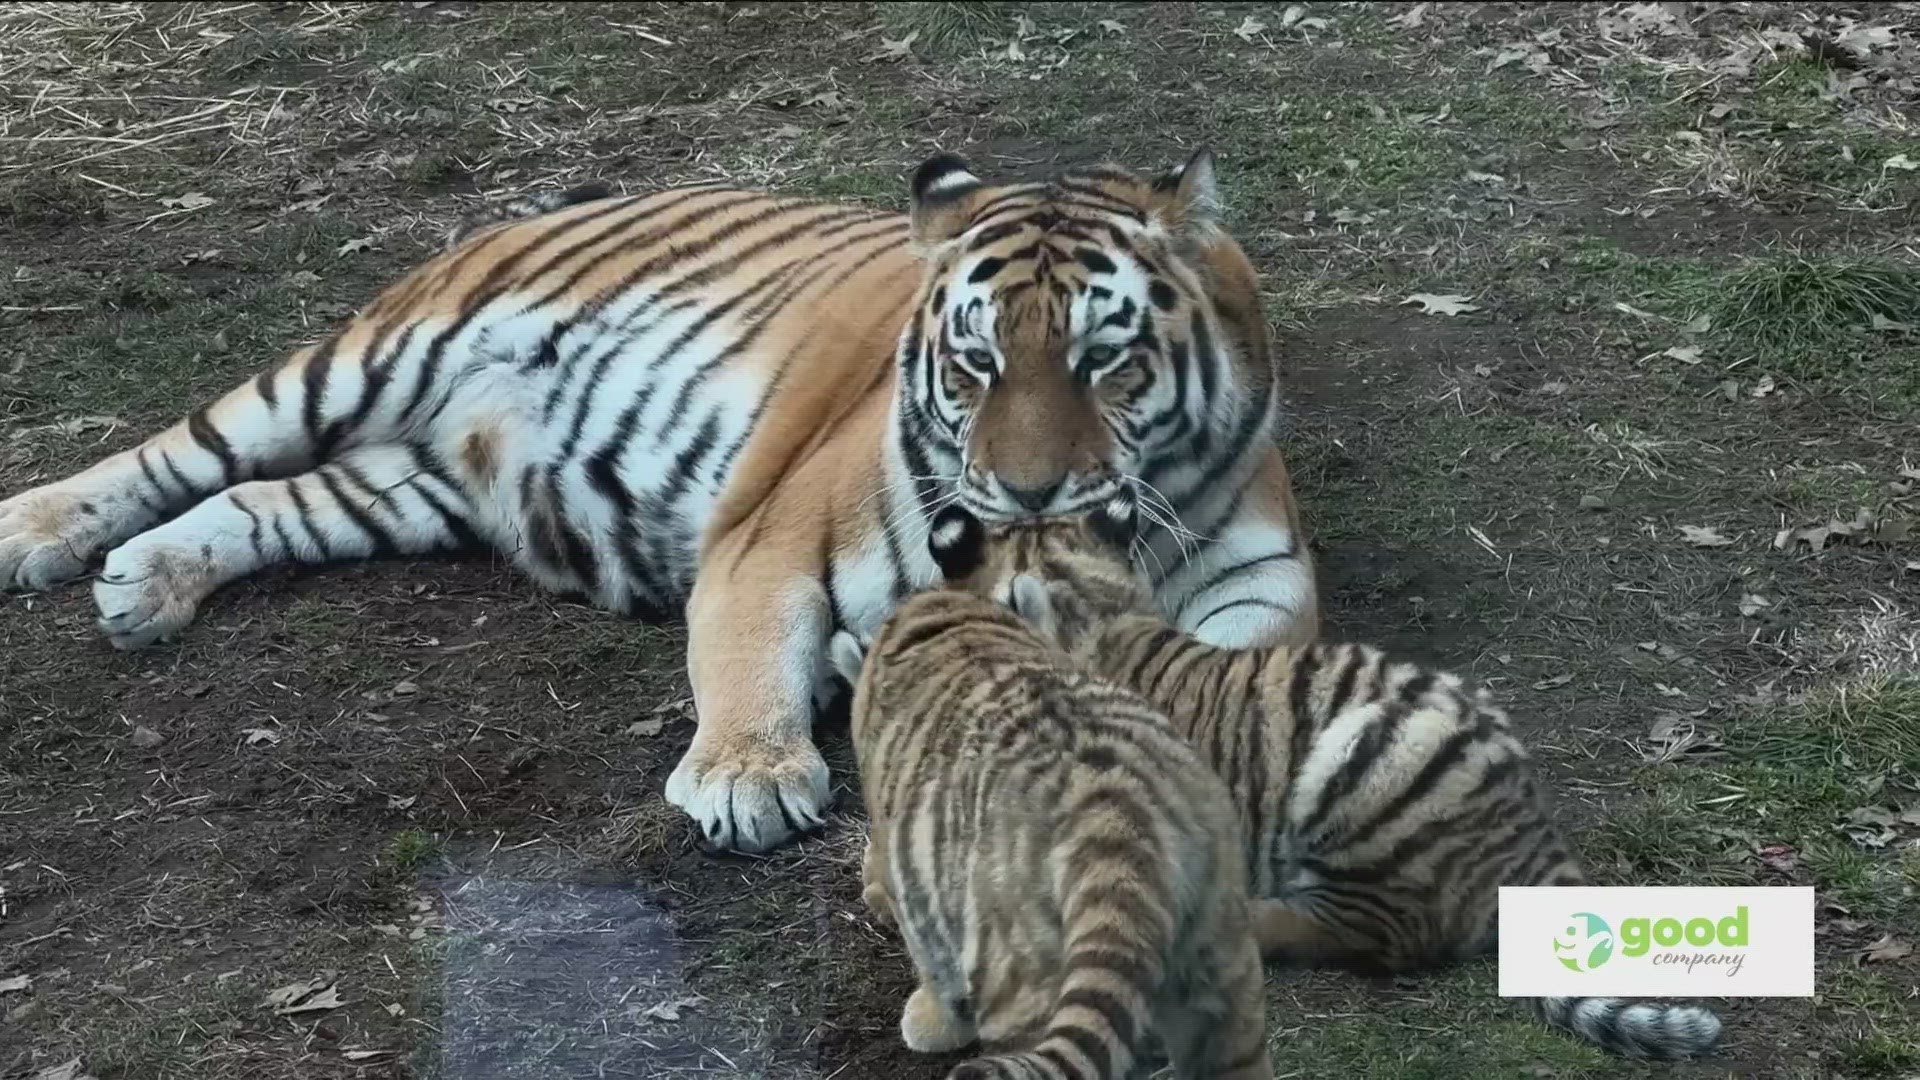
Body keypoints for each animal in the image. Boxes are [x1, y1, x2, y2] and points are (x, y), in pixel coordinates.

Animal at [0, 149, 1318, 855]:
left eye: (1103, 359)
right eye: (977, 362)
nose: (1027, 487)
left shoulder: (1263, 577)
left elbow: (1229, 678)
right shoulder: (769, 539)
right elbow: (746, 655)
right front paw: (748, 776)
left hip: (415, 483)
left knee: (267, 500)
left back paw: (148, 586)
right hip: (362, 363)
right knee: (185, 447)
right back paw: (38, 530)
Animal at [823, 534, 1273, 1080]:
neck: (946, 618)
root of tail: (1116, 814)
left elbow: (932, 961)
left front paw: (928, 1023)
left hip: (1026, 991)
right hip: (1223, 958)